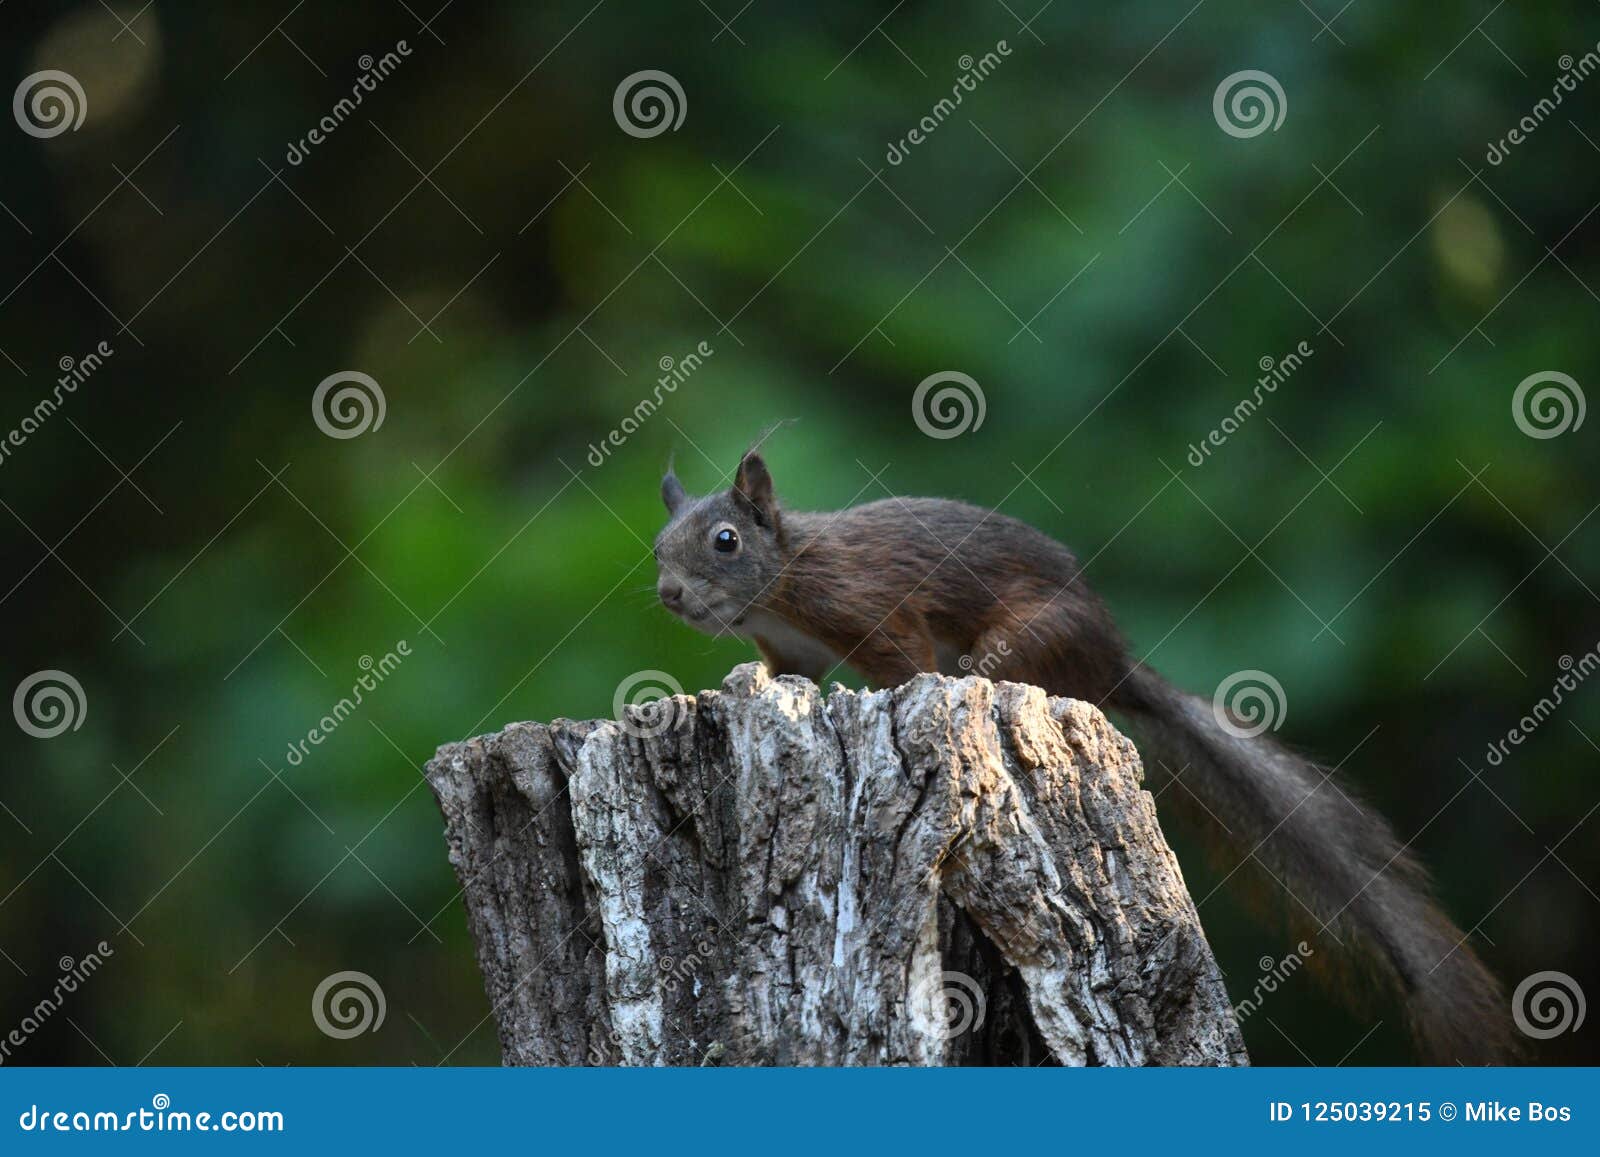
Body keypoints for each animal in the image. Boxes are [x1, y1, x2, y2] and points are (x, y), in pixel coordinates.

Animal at [652, 444, 1516, 1065]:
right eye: (660, 545)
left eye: (726, 540)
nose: (668, 595)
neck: (783, 577)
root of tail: (1114, 664)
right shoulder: (791, 647)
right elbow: (783, 676)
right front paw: (734, 687)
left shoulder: (870, 604)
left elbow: (903, 661)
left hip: (1031, 636)